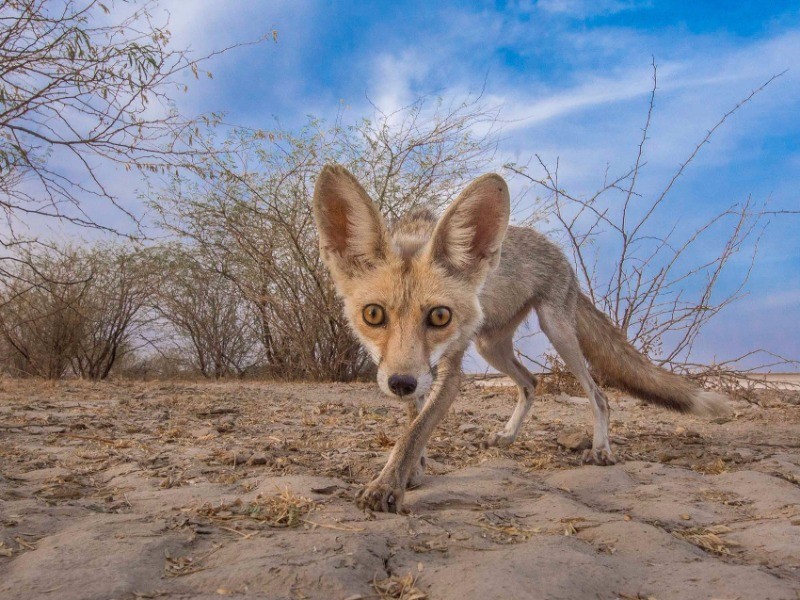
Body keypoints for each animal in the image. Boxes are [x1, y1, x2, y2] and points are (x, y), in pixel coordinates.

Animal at [312, 164, 730, 513]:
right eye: (373, 314)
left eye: (440, 316)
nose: (400, 383)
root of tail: (560, 255)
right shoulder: (421, 371)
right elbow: (412, 424)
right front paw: (411, 472)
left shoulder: (448, 370)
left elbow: (416, 430)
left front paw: (387, 486)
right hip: (490, 346)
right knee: (531, 383)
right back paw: (509, 436)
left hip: (558, 332)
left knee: (599, 394)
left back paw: (601, 449)